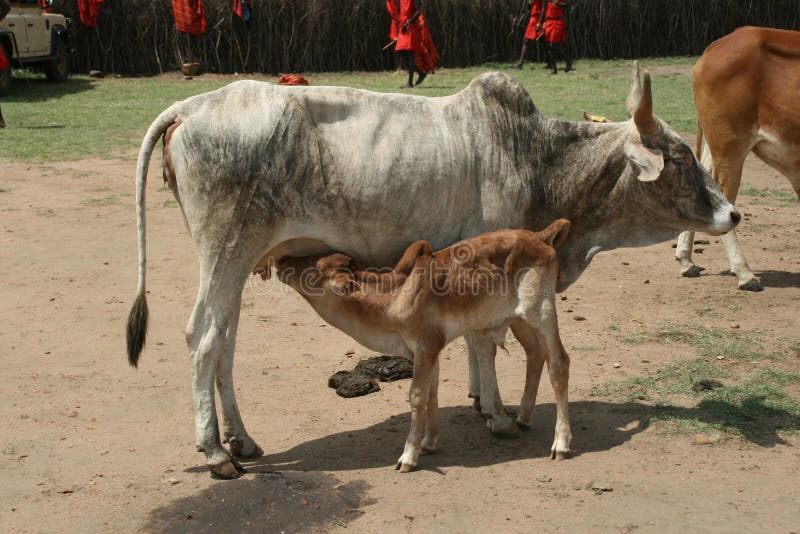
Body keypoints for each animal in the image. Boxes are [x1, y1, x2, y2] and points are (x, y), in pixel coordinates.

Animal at [276, 220, 572, 472]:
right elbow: (432, 391)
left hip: (541, 312)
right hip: (519, 320)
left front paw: (409, 455)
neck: (393, 298)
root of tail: (540, 237)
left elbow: (417, 395)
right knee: (535, 354)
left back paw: (561, 443)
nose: (283, 259)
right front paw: (429, 443)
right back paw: (523, 418)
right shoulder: (428, 352)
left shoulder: (425, 347)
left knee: (559, 363)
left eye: (314, 267)